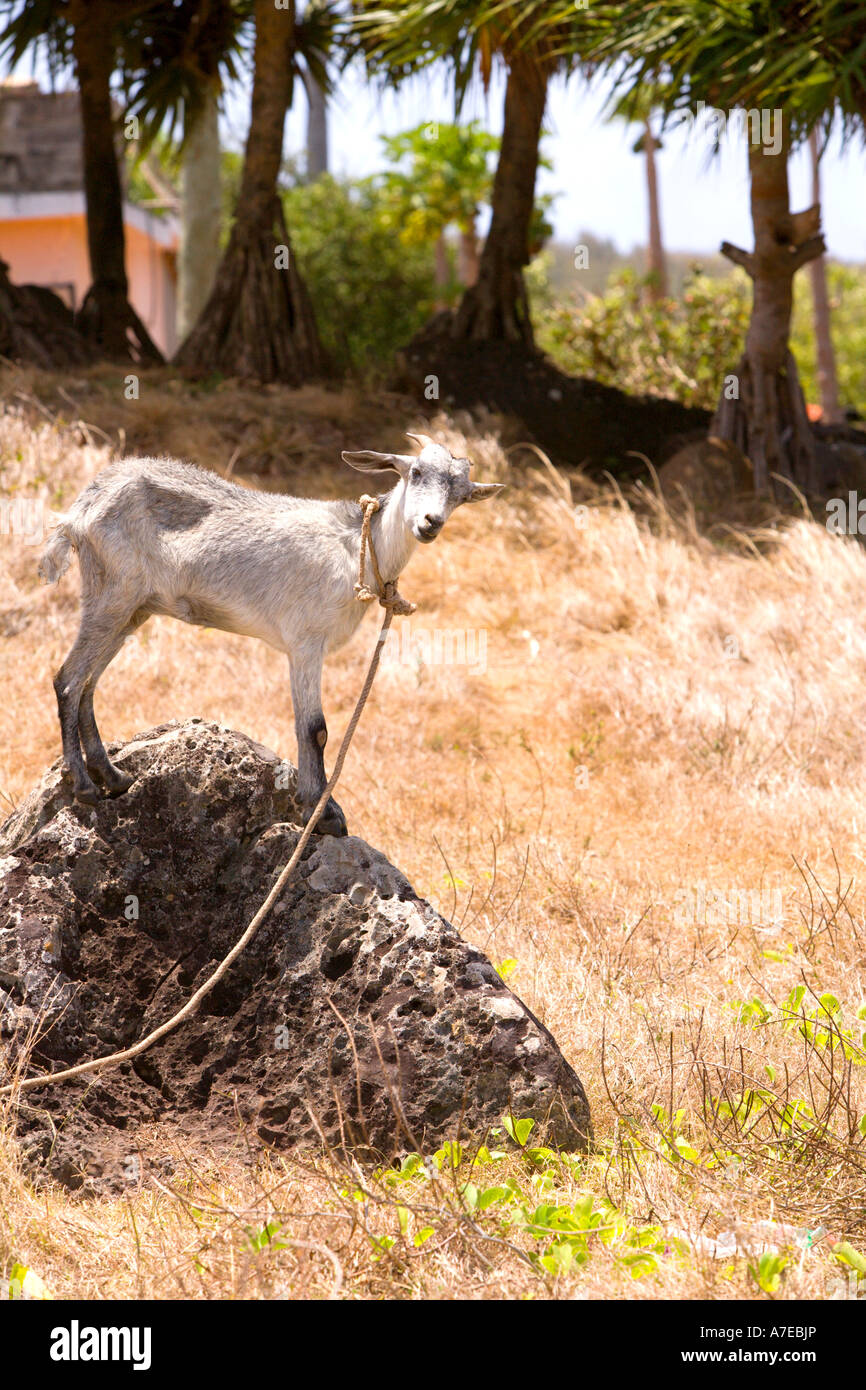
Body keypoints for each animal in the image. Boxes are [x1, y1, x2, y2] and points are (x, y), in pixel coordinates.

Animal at [39, 433, 503, 836]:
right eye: (416, 472)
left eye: (462, 494)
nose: (430, 523)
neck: (354, 549)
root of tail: (79, 511)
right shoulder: (305, 641)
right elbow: (315, 728)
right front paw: (322, 812)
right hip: (112, 593)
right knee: (69, 679)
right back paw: (84, 786)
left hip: (133, 608)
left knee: (88, 683)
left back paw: (112, 776)